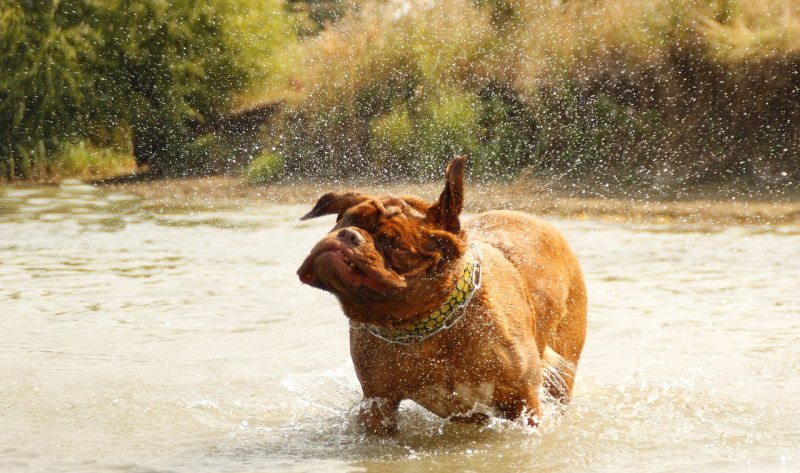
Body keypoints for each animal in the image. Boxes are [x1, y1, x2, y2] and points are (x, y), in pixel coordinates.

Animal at [296, 157, 584, 434]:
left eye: (394, 244)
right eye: (348, 219)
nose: (349, 235)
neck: (423, 323)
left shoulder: (524, 403)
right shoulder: (377, 405)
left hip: (561, 373)